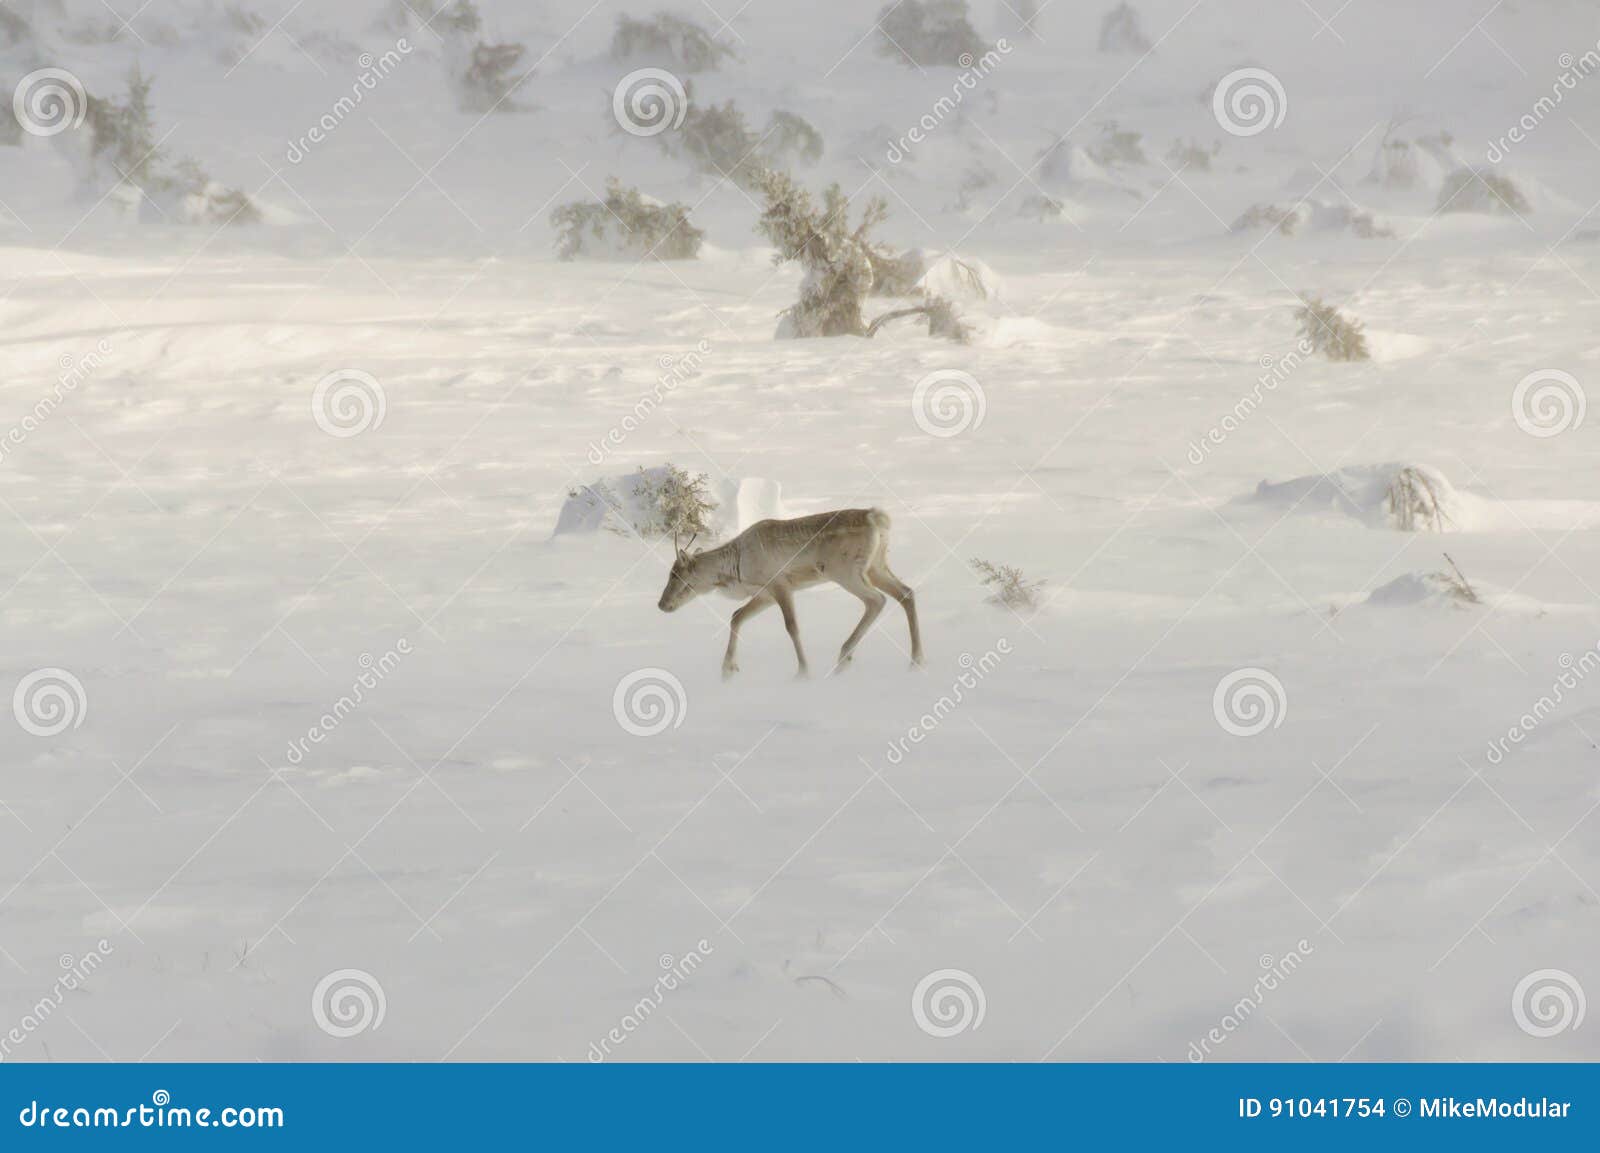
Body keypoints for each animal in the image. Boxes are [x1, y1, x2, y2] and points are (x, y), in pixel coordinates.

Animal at [657, 508, 923, 679]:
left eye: (675, 574)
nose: (661, 604)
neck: (735, 572)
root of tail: (877, 518)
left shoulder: (780, 585)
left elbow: (792, 627)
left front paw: (803, 671)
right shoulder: (764, 594)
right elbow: (736, 616)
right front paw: (727, 669)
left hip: (845, 572)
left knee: (877, 600)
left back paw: (843, 659)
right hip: (877, 566)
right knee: (906, 593)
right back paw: (915, 660)